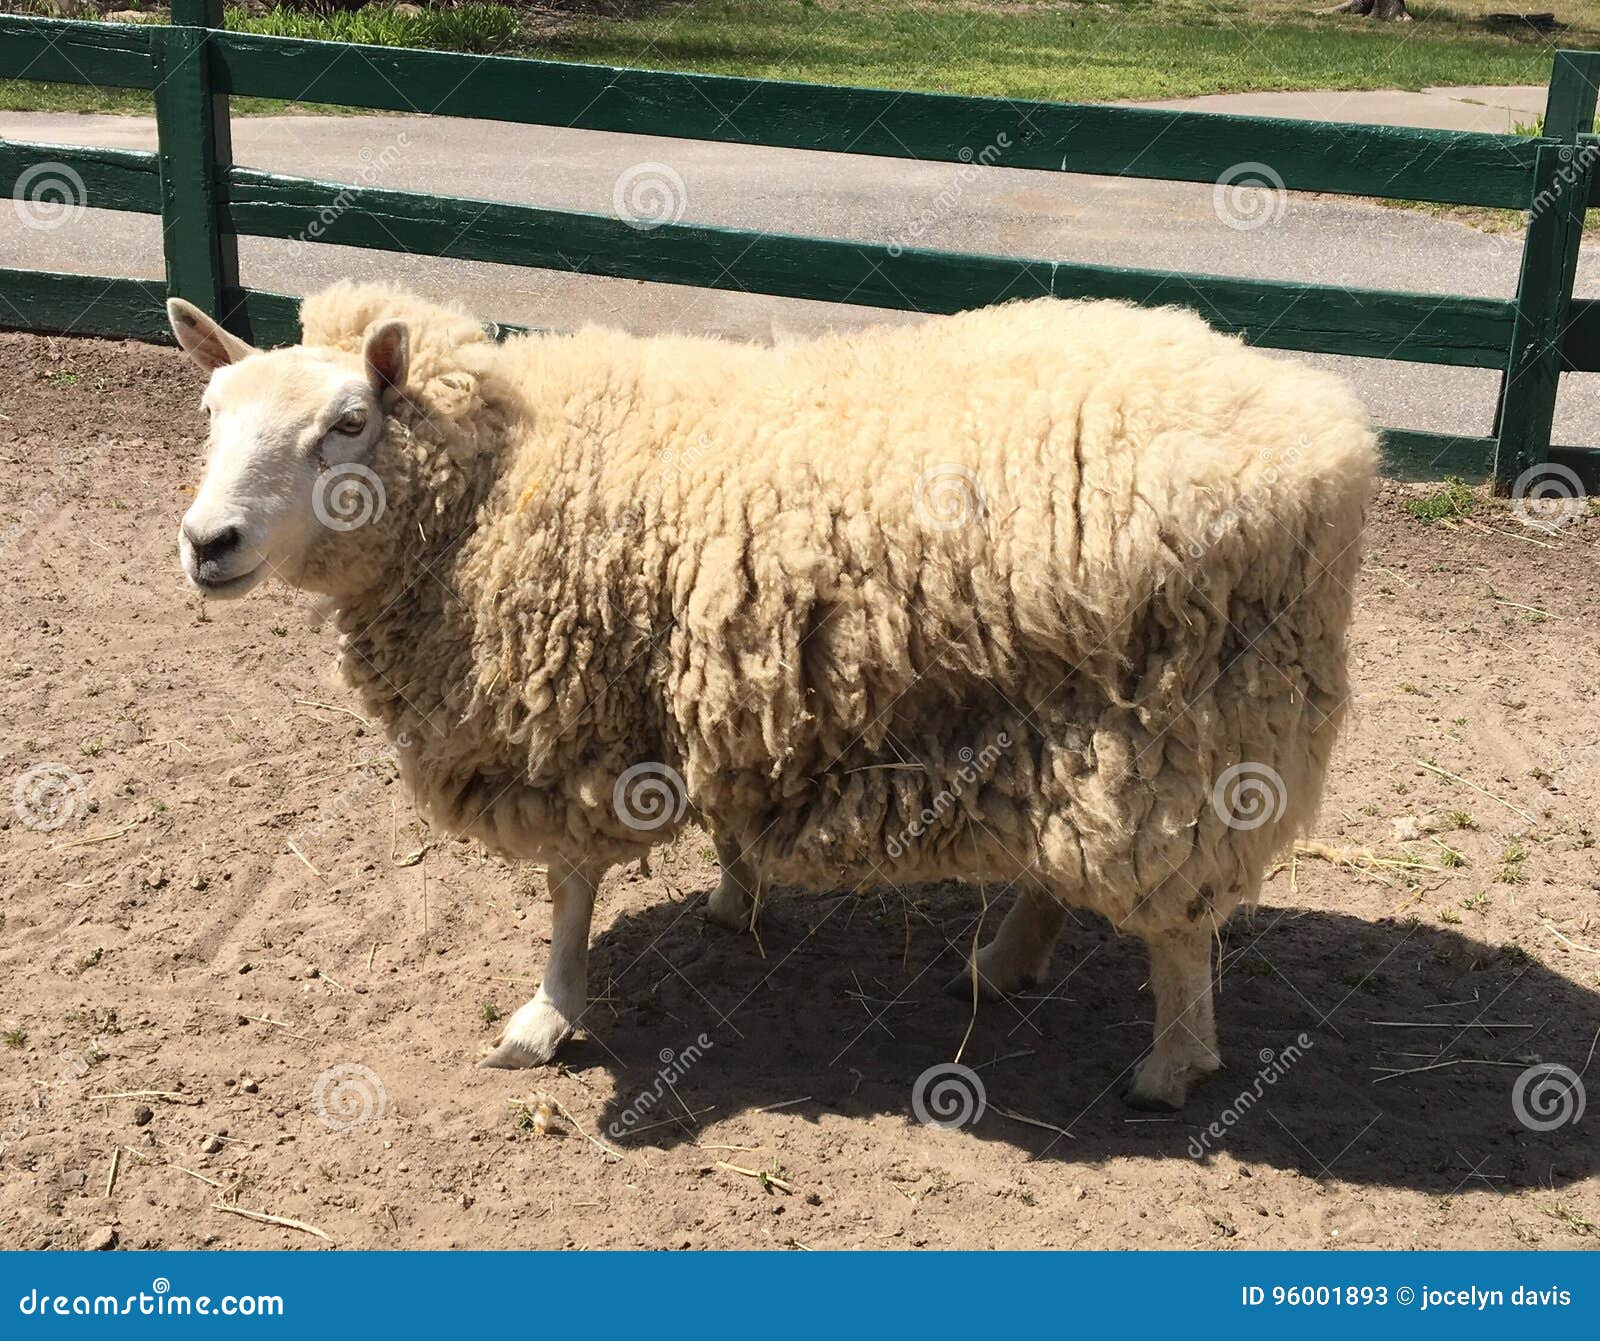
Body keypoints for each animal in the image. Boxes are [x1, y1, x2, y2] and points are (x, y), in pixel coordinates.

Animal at [169, 283, 1375, 1110]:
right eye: (212, 409)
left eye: (348, 422)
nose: (206, 542)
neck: (496, 483)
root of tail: (1335, 433)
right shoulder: (702, 688)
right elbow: (714, 823)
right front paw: (732, 897)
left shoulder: (578, 721)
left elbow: (567, 889)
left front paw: (547, 1016)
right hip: (1071, 725)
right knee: (1068, 865)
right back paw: (1004, 963)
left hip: (1185, 722)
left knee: (1176, 916)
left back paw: (1171, 1063)